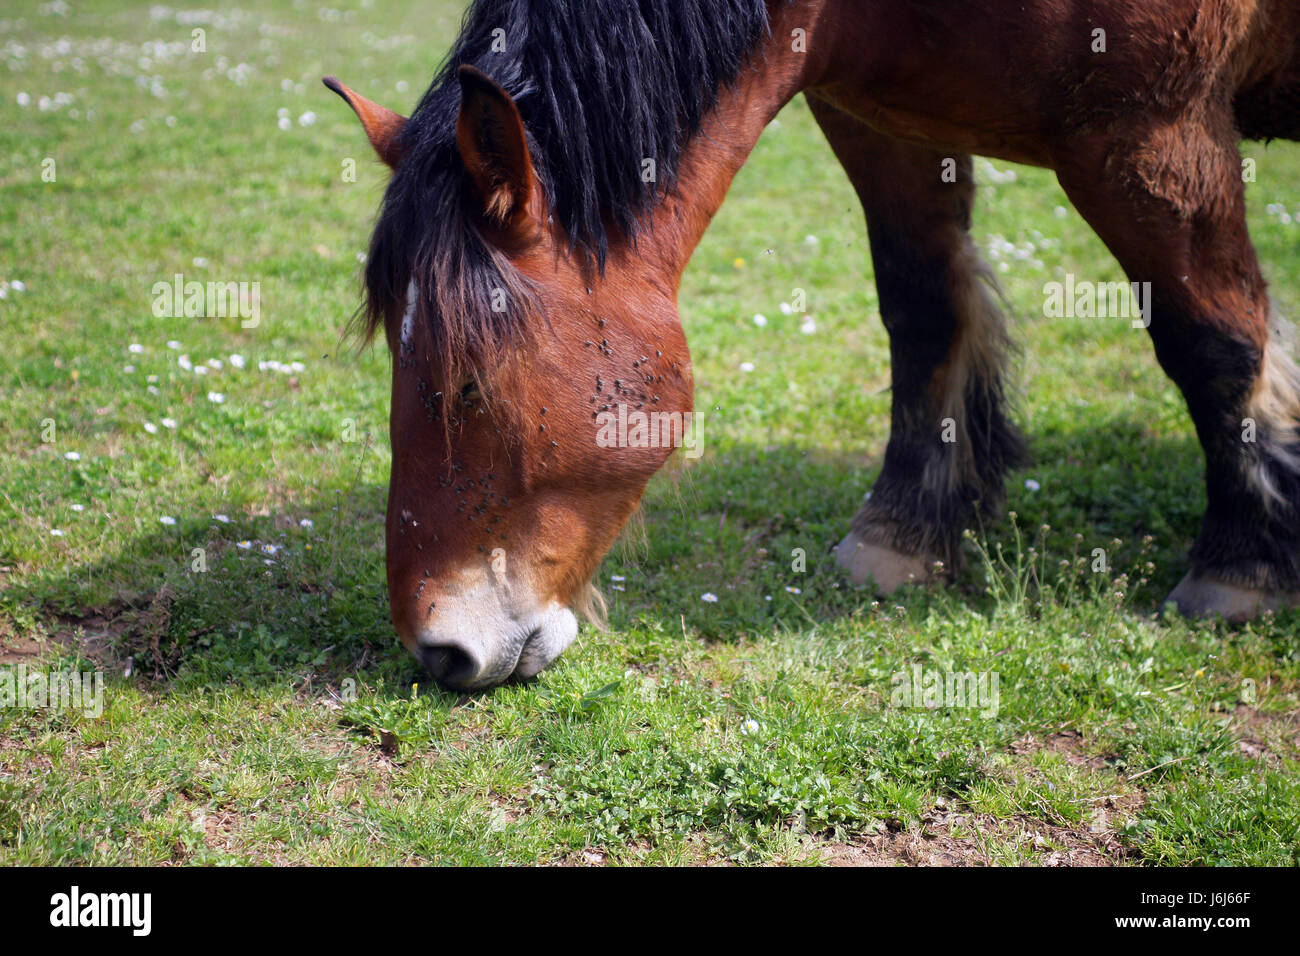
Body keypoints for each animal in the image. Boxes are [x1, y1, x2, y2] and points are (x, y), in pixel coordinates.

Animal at [326, 0, 1300, 690]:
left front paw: (1243, 568)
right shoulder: (886, 129)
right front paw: (901, 535)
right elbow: (923, 313)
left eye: (469, 384)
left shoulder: (1157, 138)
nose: (437, 649)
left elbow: (1213, 336)